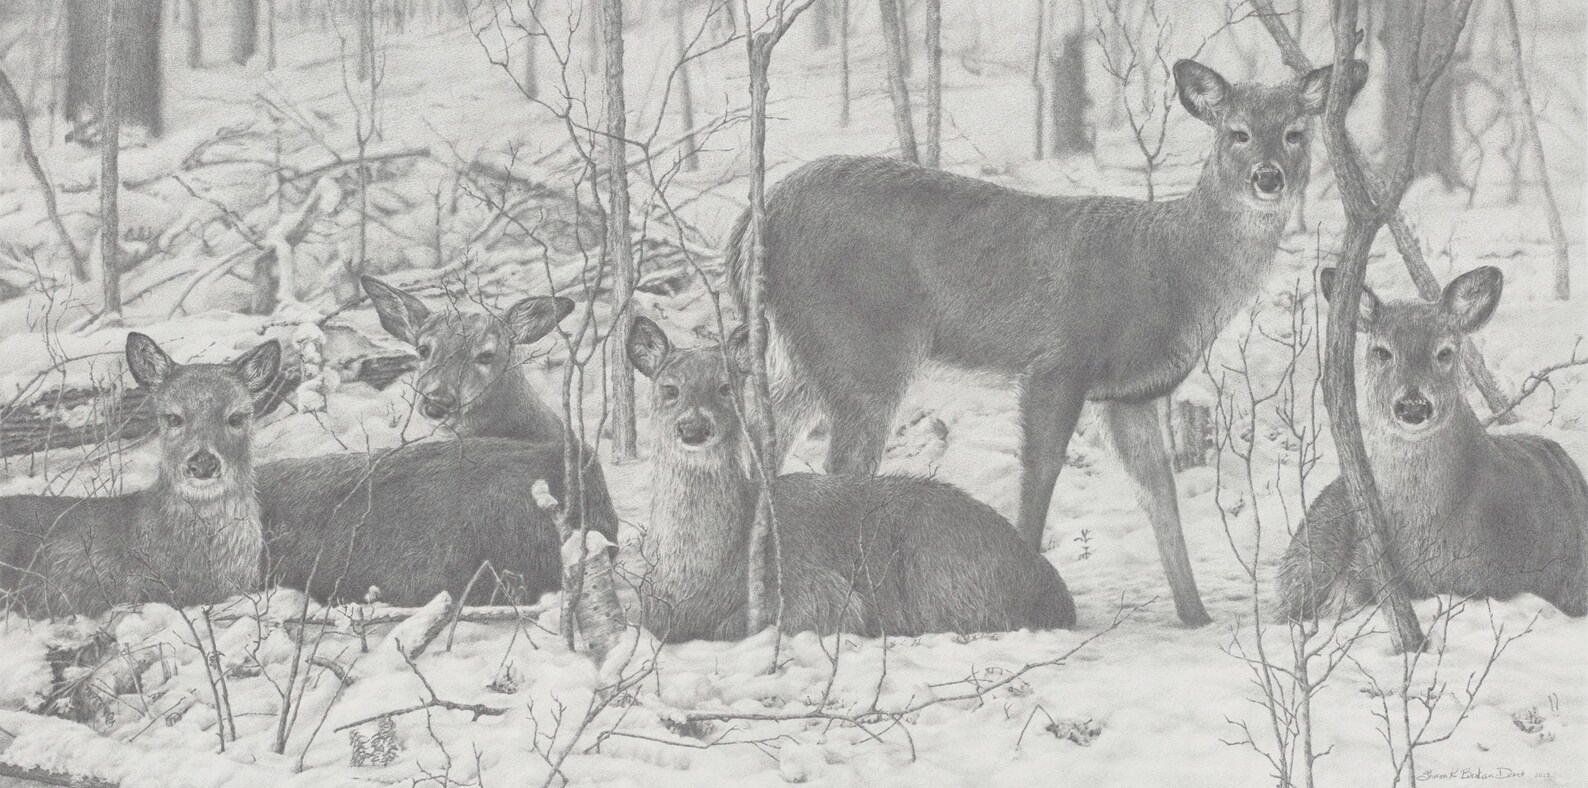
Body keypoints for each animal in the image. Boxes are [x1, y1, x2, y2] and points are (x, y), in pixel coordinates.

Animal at [625, 317, 1074, 642]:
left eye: (725, 388)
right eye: (669, 388)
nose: (693, 428)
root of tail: (1054, 590)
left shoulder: (823, 593)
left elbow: (738, 626)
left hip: (944, 571)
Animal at [725, 59, 1369, 627]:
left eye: (1294, 132)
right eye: (1237, 132)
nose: (1268, 177)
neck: (1173, 268)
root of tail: (755, 219)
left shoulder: (1131, 394)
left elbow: (1159, 493)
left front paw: (1196, 614)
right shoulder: (1059, 361)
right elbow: (1041, 472)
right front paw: (1031, 593)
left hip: (810, 354)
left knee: (763, 429)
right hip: (862, 346)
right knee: (840, 463)